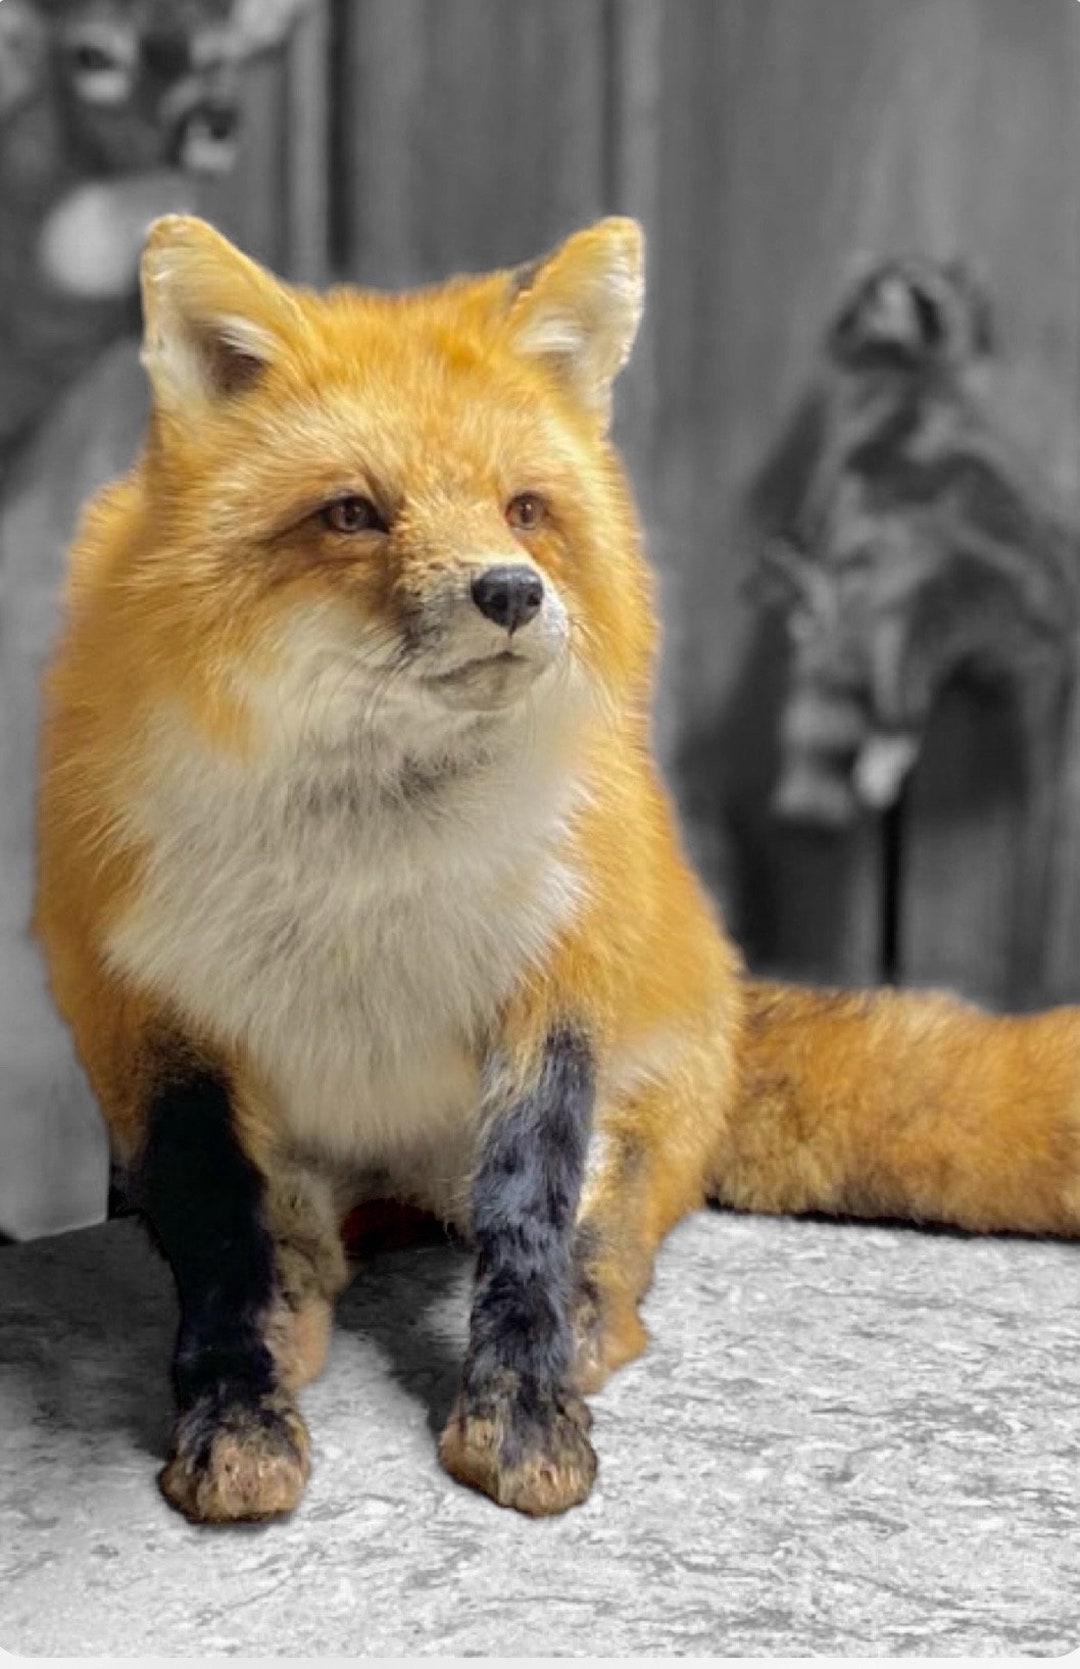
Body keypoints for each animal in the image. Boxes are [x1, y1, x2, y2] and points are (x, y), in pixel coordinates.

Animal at [34, 214, 1080, 1526]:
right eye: (353, 514)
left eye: (524, 508)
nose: (511, 592)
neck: (367, 868)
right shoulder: (152, 1018)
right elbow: (223, 1238)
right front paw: (233, 1405)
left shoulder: (554, 976)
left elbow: (526, 1224)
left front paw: (520, 1411)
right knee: (301, 1239)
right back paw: (304, 1303)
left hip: (640, 1092)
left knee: (607, 1249)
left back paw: (580, 1320)